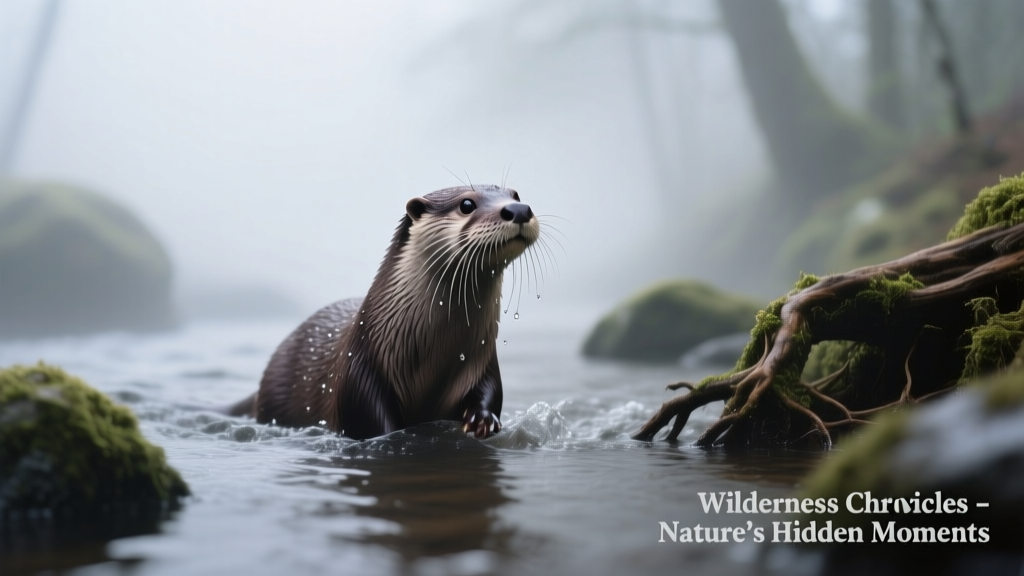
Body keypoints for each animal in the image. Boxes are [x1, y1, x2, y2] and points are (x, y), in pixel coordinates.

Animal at [229, 185, 540, 440]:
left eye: (516, 195)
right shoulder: (361, 374)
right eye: (466, 204)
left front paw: (482, 419)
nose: (520, 210)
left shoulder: (483, 362)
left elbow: (490, 393)